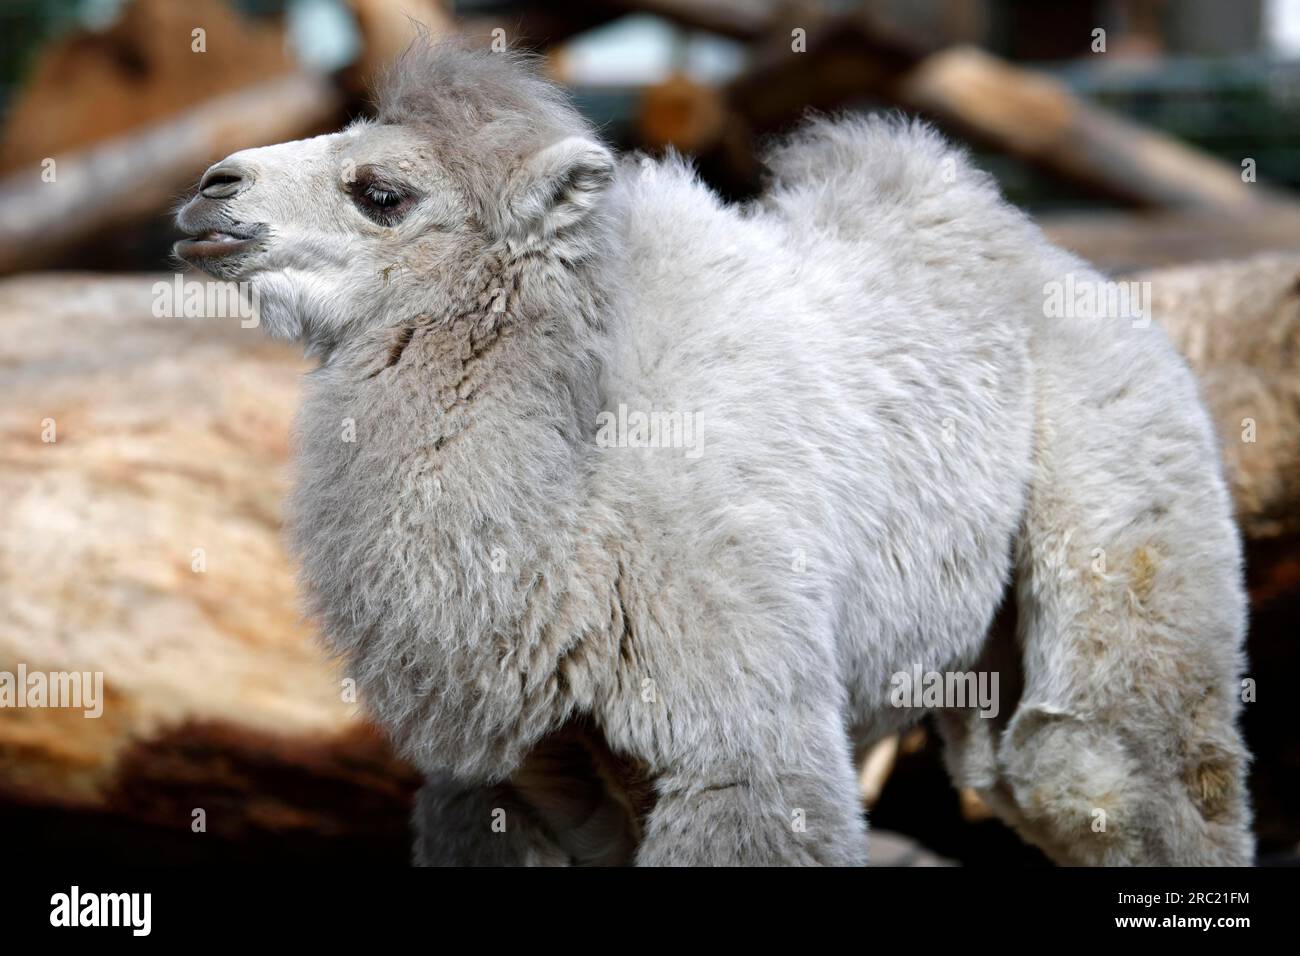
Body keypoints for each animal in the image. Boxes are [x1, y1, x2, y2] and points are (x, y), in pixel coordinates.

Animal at [175, 40, 1252, 866]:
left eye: (382, 192)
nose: (208, 194)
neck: (573, 508)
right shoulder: (517, 779)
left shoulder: (740, 741)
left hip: (1119, 480)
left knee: (1105, 761)